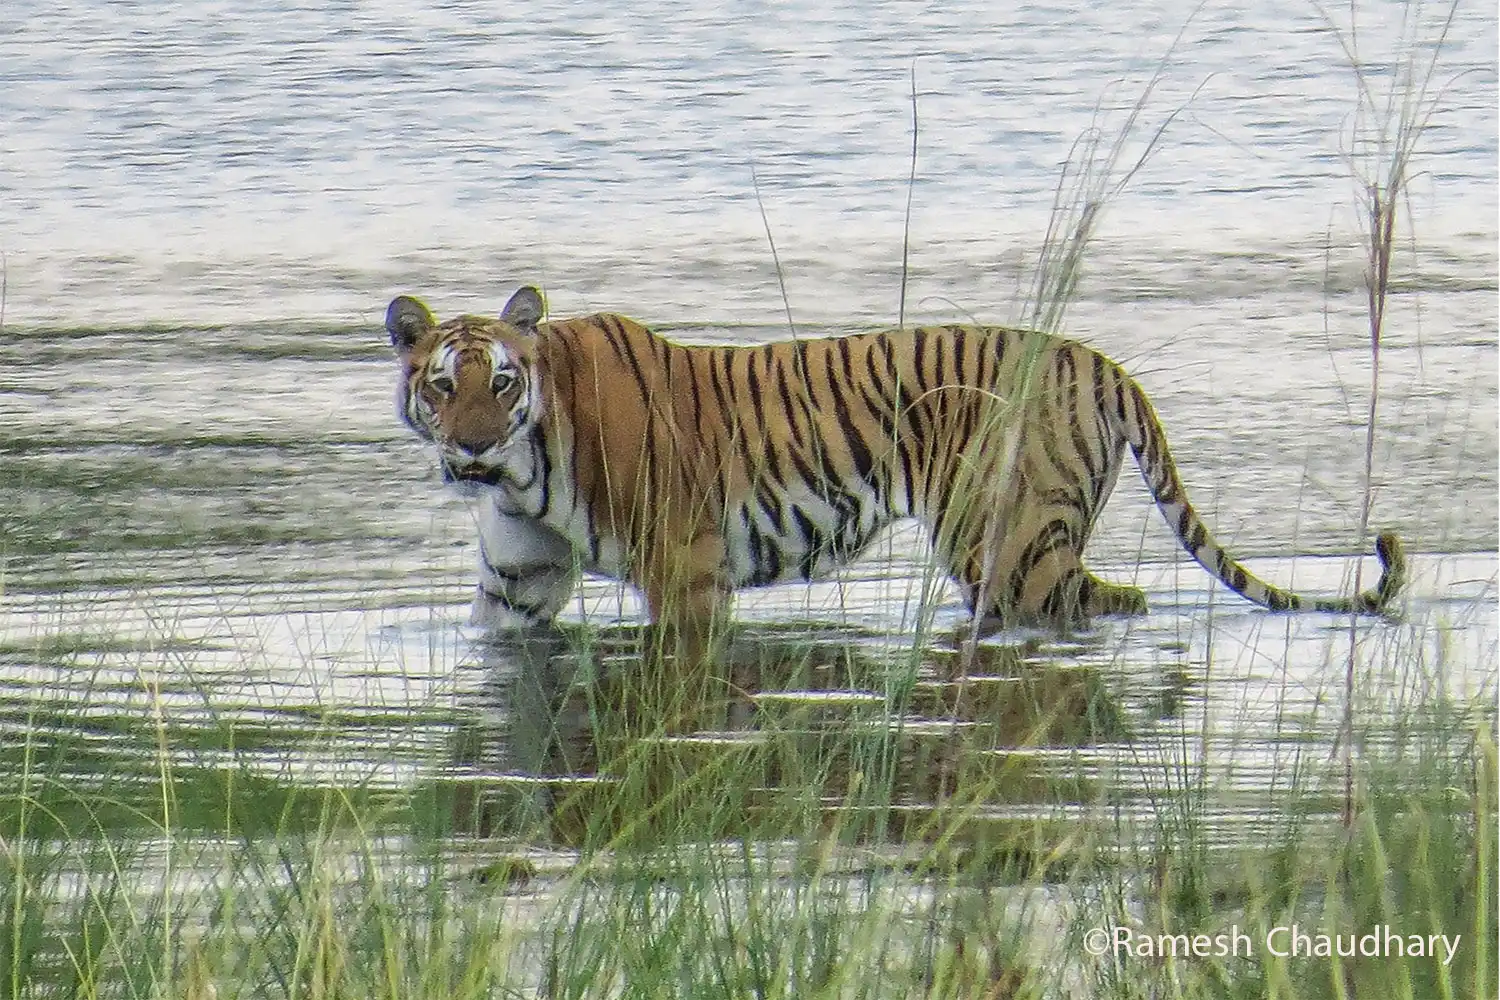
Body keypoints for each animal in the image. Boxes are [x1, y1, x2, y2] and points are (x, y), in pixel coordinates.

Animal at [384, 285, 1405, 655]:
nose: (471, 447)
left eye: (500, 382)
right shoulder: (518, 577)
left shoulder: (685, 570)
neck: (525, 468)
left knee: (1106, 605)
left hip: (1013, 544)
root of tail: (1100, 360)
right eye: (443, 385)